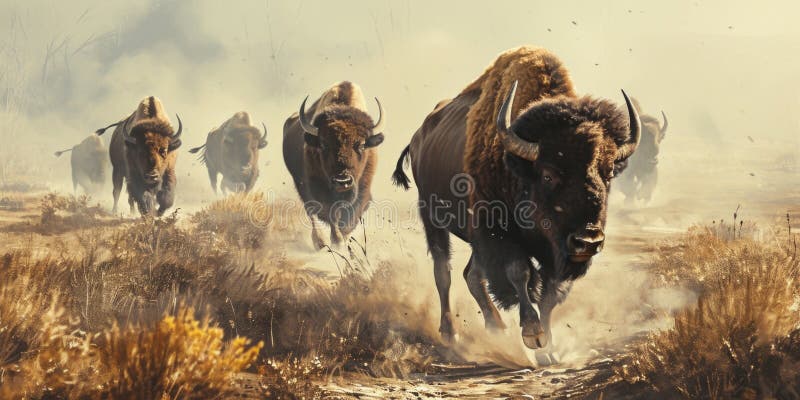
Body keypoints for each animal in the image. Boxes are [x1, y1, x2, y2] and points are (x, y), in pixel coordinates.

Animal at [283, 81, 385, 249]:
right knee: (312, 213)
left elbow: (349, 220)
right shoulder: (320, 192)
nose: (342, 180)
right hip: (301, 186)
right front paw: (337, 242)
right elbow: (332, 217)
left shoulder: (362, 192)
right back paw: (320, 242)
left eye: (362, 145)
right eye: (324, 144)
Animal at [392, 47, 640, 355]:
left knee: (471, 275)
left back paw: (496, 327)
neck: (520, 167)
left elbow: (549, 293)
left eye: (607, 173)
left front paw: (548, 348)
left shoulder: (552, 250)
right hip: (432, 217)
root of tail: (419, 137)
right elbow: (518, 273)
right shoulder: (500, 234)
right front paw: (533, 333)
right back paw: (451, 334)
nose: (588, 241)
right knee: (444, 271)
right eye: (548, 174)